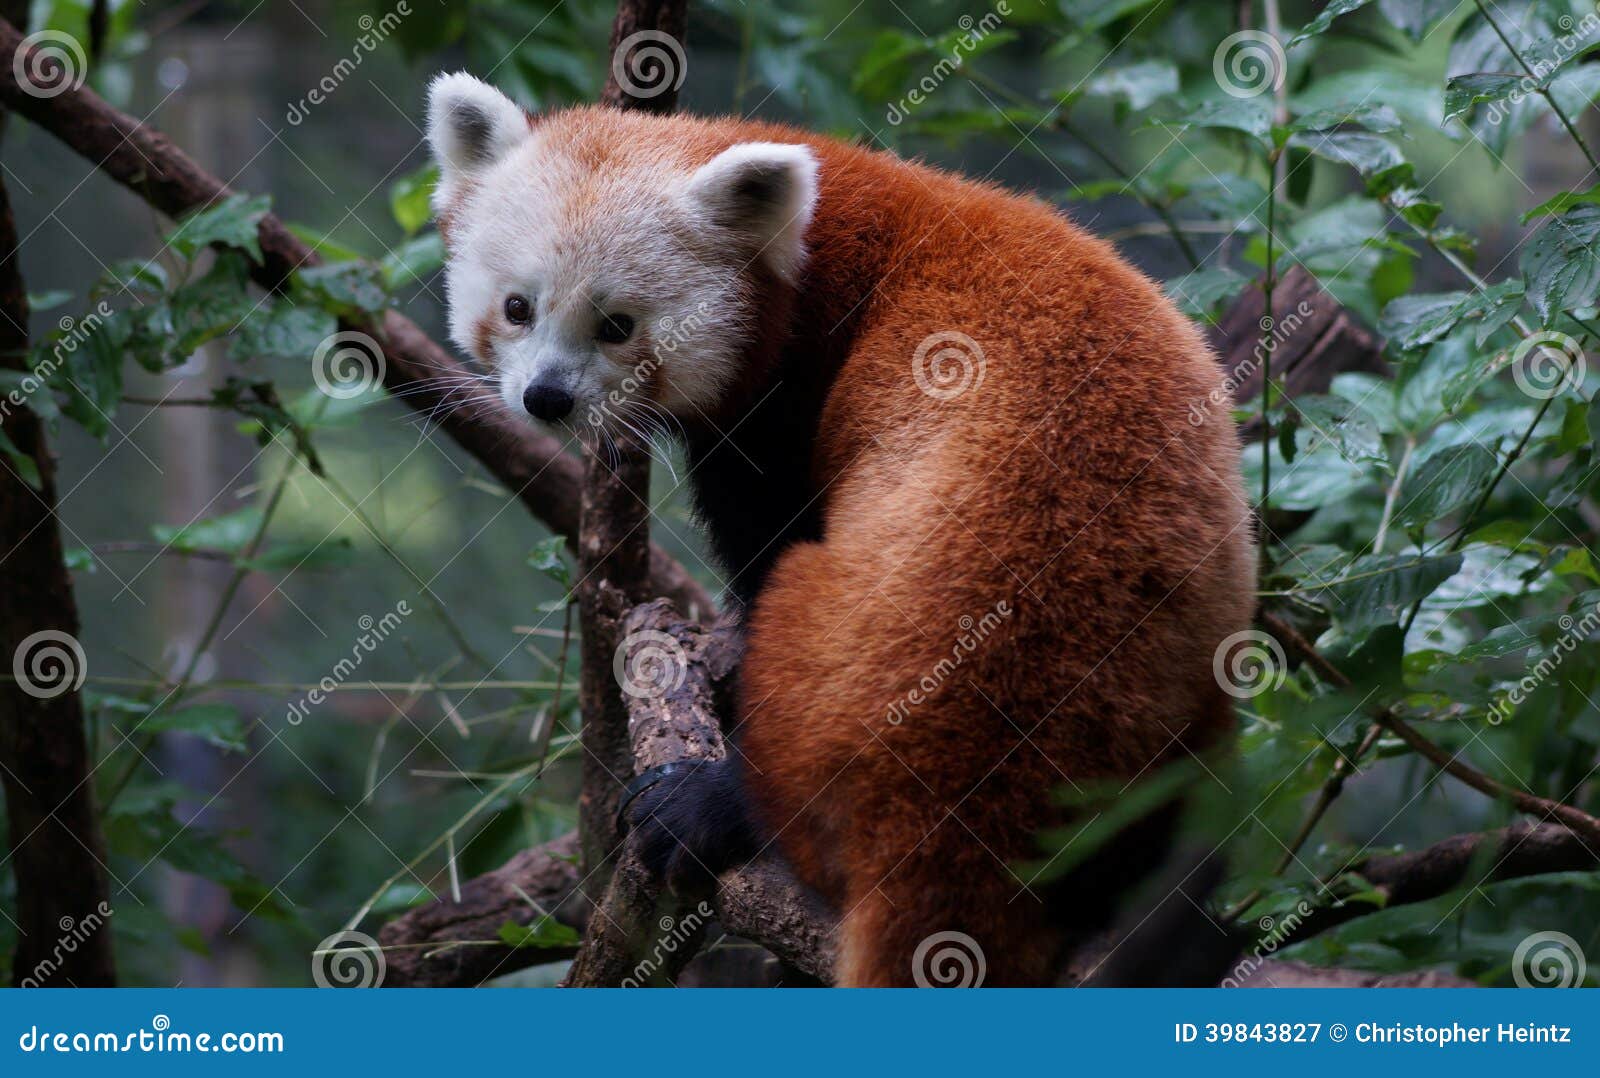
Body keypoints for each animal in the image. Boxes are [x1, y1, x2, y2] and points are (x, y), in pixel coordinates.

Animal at [426, 72, 1257, 987]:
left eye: (617, 325)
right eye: (516, 307)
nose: (547, 399)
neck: (809, 254)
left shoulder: (787, 405)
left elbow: (766, 537)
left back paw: (715, 807)